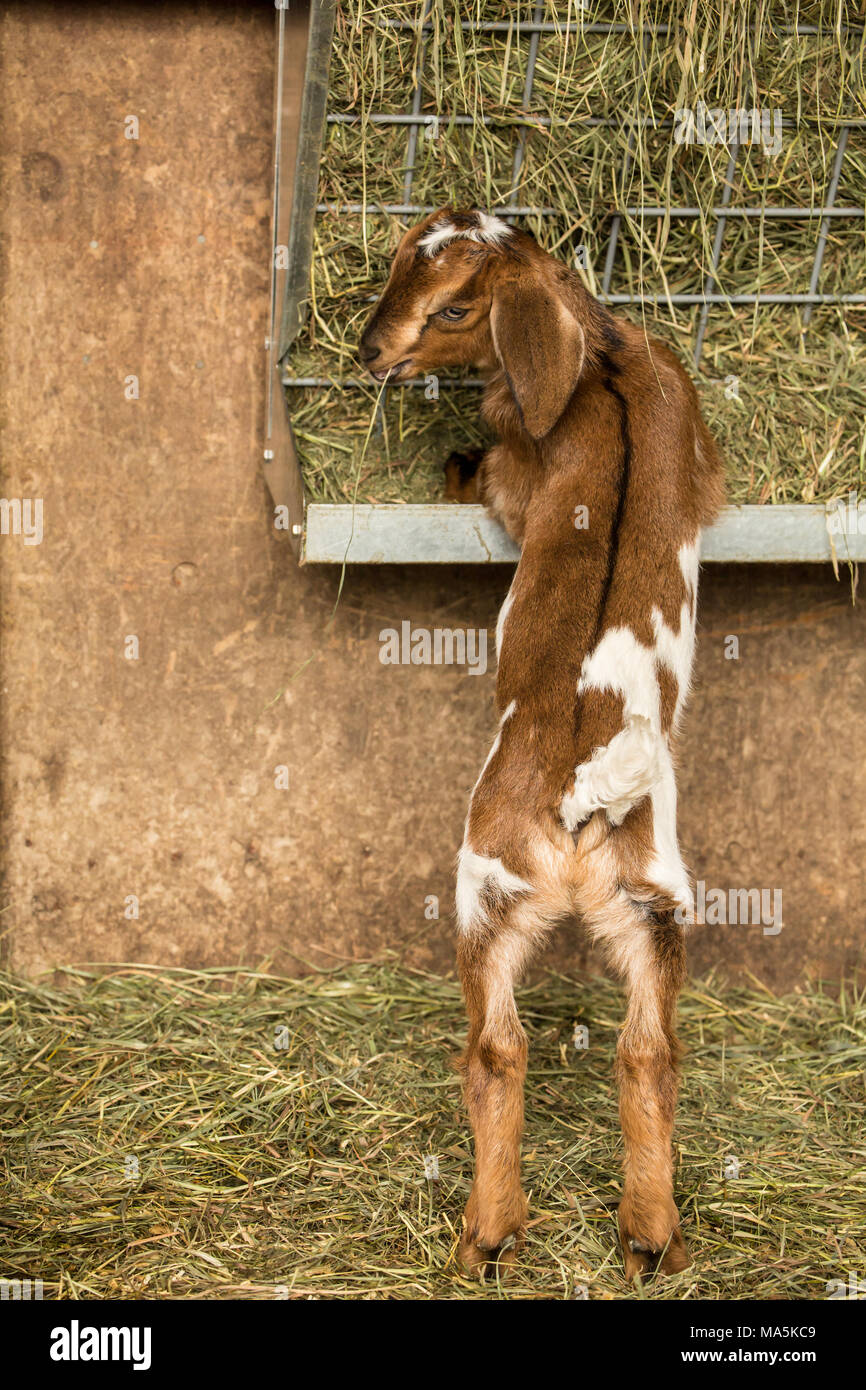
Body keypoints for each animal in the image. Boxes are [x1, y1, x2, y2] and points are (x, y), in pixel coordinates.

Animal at [360, 208, 725, 1281]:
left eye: (454, 310)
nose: (371, 352)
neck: (605, 360)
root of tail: (578, 801)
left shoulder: (524, 479)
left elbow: (499, 481)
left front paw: (453, 466)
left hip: (481, 885)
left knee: (496, 1048)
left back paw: (487, 1233)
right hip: (655, 905)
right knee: (648, 1052)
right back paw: (649, 1235)